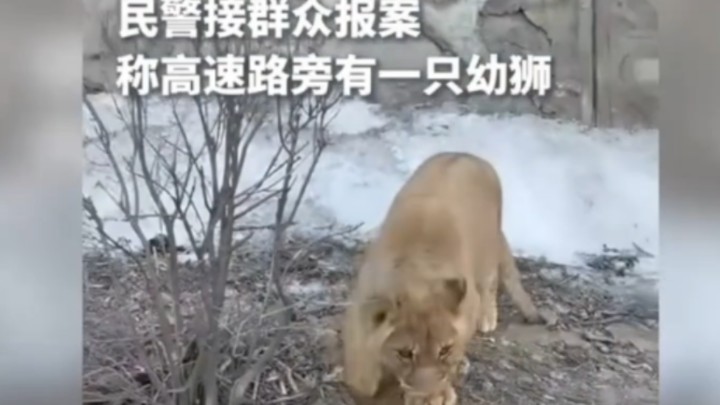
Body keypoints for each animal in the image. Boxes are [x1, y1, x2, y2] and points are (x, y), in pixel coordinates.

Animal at [341, 152, 542, 404]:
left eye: (444, 350)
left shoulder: (467, 308)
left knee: (490, 283)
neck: (414, 278)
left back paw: (487, 318)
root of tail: (468, 155)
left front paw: (438, 393)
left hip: (487, 251)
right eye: (405, 353)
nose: (427, 392)